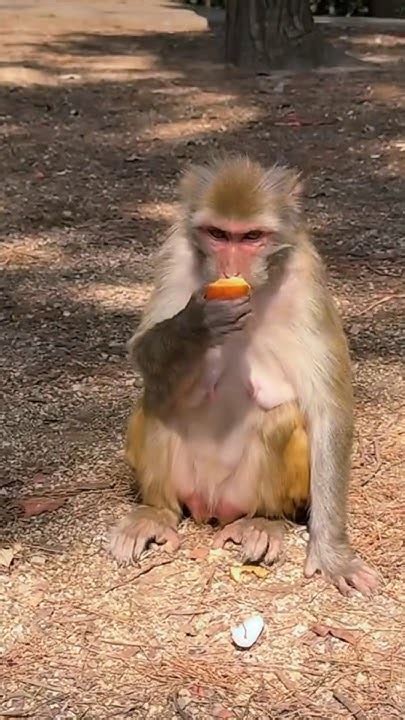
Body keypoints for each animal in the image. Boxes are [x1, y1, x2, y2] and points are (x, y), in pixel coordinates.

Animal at [109, 156, 379, 597]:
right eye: (218, 234)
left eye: (252, 236)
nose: (230, 267)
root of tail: (211, 506)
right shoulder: (175, 257)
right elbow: (142, 352)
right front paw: (196, 323)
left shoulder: (306, 277)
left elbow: (328, 411)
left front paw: (333, 554)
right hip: (184, 486)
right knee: (160, 397)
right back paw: (156, 514)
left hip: (242, 493)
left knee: (281, 418)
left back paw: (262, 523)